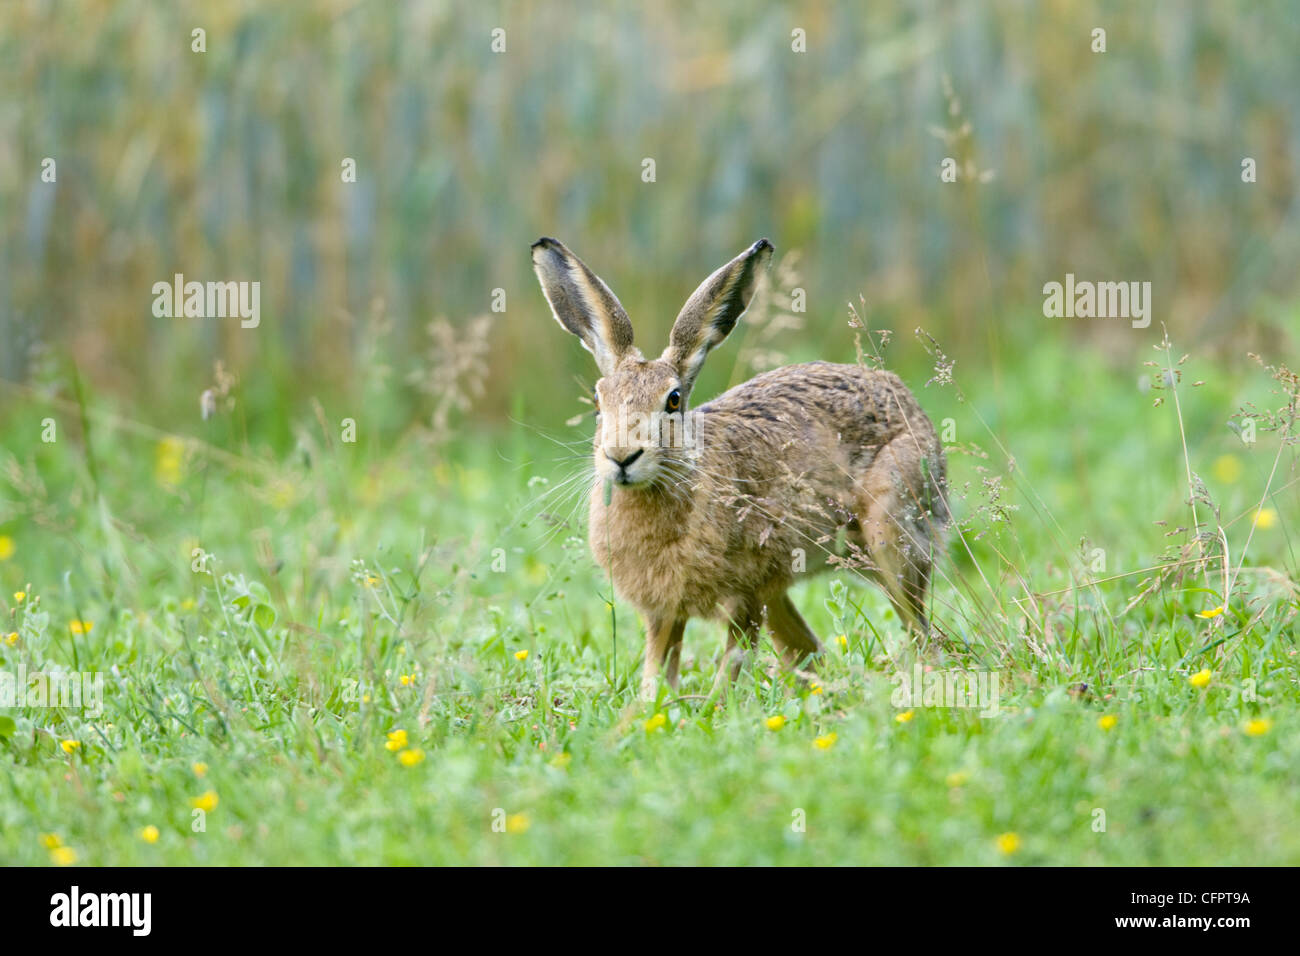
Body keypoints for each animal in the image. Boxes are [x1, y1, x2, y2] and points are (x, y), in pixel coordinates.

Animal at [532, 236, 948, 700]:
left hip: (890, 532)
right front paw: (651, 705)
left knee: (916, 622)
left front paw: (714, 704)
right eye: (597, 401)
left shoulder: (744, 594)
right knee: (809, 648)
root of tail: (915, 411)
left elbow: (734, 657)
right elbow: (658, 664)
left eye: (673, 400)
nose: (621, 456)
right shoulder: (664, 611)